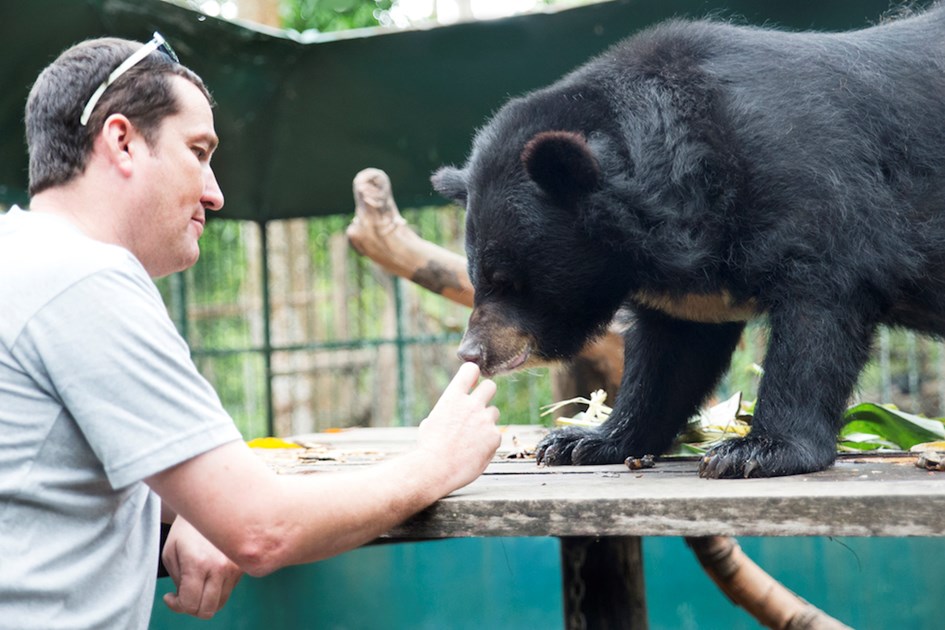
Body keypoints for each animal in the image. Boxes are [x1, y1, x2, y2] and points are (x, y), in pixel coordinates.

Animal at [431, 5, 945, 478]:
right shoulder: (689, 289)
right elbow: (670, 357)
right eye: (478, 277)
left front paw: (753, 452)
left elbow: (817, 316)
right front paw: (583, 441)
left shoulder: (816, 194)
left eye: (508, 279)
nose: (472, 353)